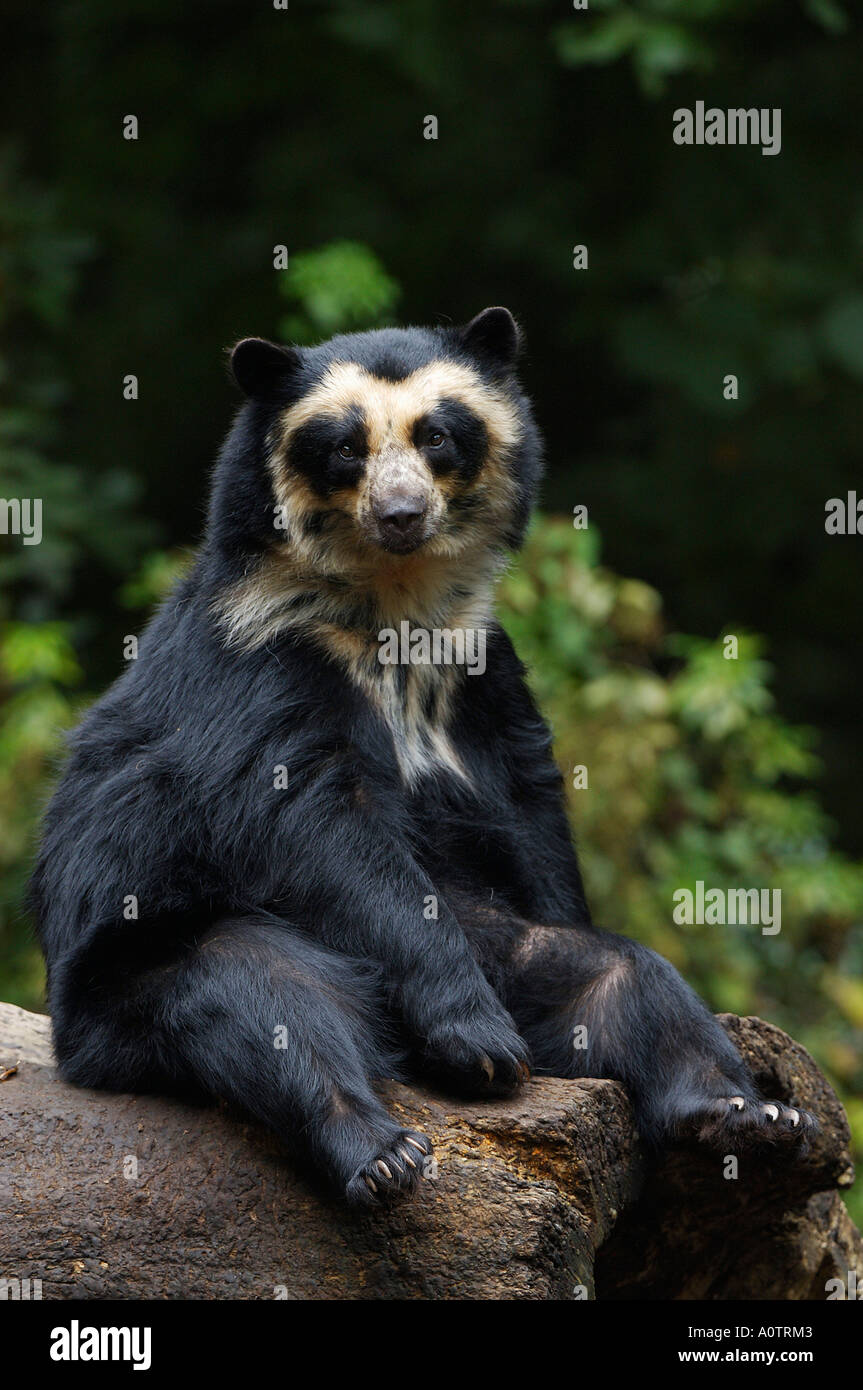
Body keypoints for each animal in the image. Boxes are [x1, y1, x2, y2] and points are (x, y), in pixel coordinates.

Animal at [30, 307, 814, 1206]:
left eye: (437, 435)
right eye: (343, 448)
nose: (401, 513)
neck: (391, 605)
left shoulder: (482, 674)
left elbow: (528, 811)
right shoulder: (261, 666)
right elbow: (326, 833)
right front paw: (474, 1040)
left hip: (502, 944)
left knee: (619, 977)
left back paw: (749, 1116)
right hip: (124, 979)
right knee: (264, 993)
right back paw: (398, 1138)